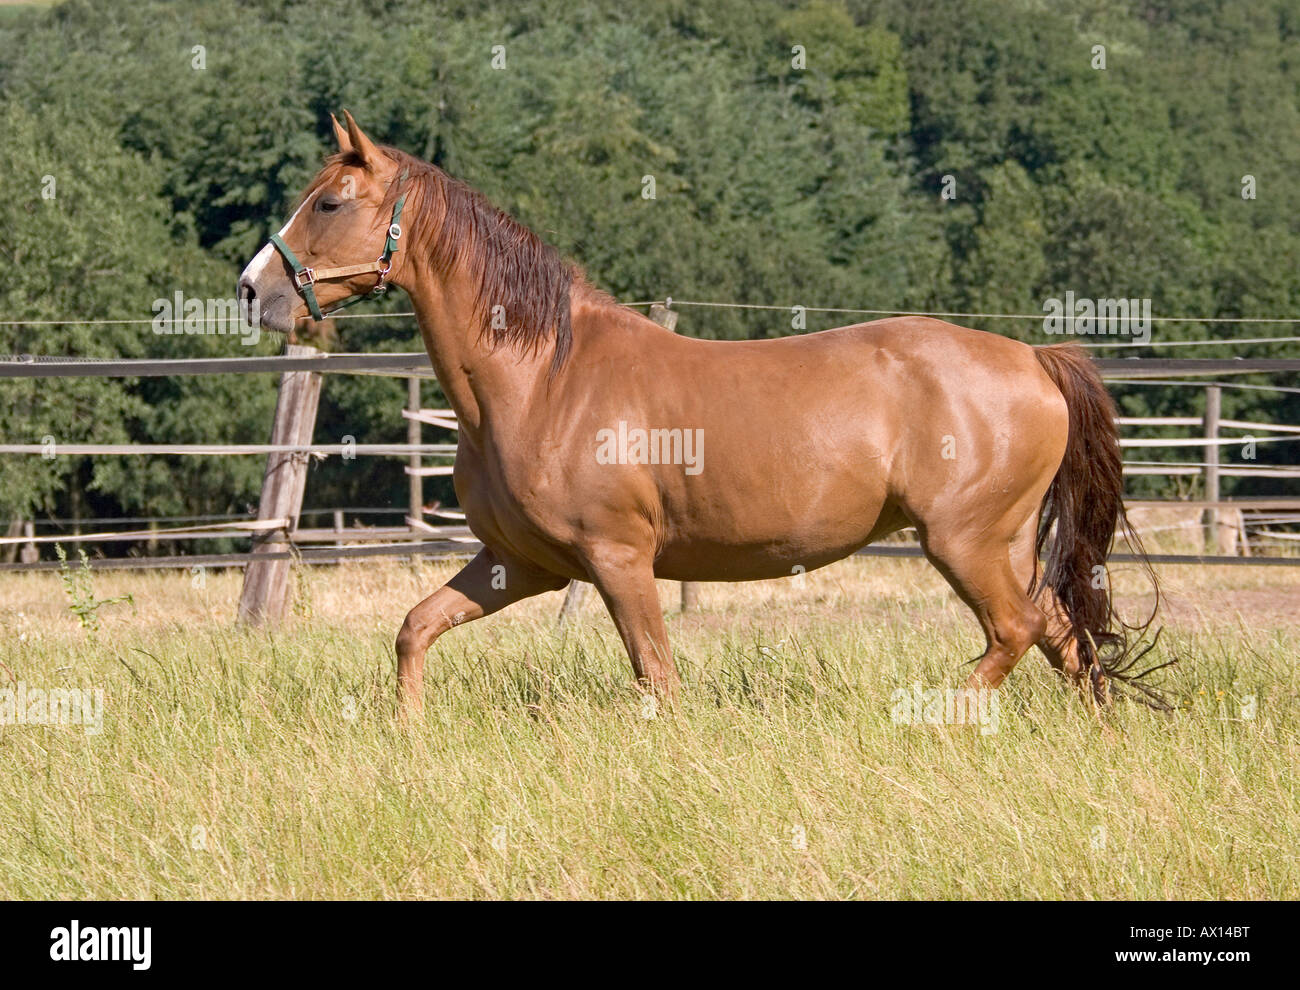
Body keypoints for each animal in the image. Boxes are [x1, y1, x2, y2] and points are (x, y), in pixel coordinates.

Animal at [238, 112, 1160, 715]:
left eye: (327, 203)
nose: (253, 290)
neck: (542, 379)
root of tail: (1033, 360)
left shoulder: (618, 560)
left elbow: (658, 678)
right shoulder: (522, 564)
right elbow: (414, 630)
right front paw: (409, 733)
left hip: (962, 542)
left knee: (1015, 631)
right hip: (1001, 544)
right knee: (1064, 639)